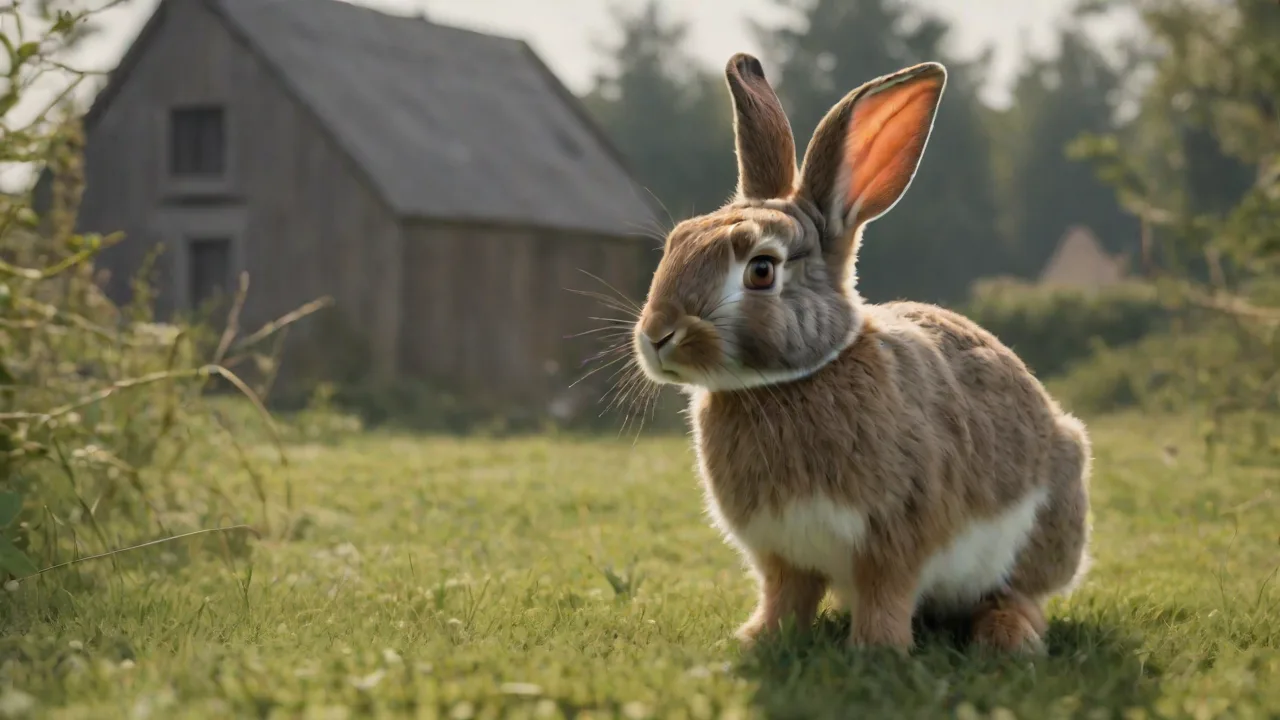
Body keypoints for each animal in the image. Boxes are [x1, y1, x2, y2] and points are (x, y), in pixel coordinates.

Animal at [630, 53, 1092, 655]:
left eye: (762, 270)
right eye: (677, 242)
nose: (657, 334)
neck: (791, 380)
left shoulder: (895, 536)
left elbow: (885, 594)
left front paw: (876, 651)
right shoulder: (782, 551)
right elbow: (784, 596)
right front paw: (757, 639)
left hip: (1044, 525)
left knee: (1021, 594)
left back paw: (1007, 637)